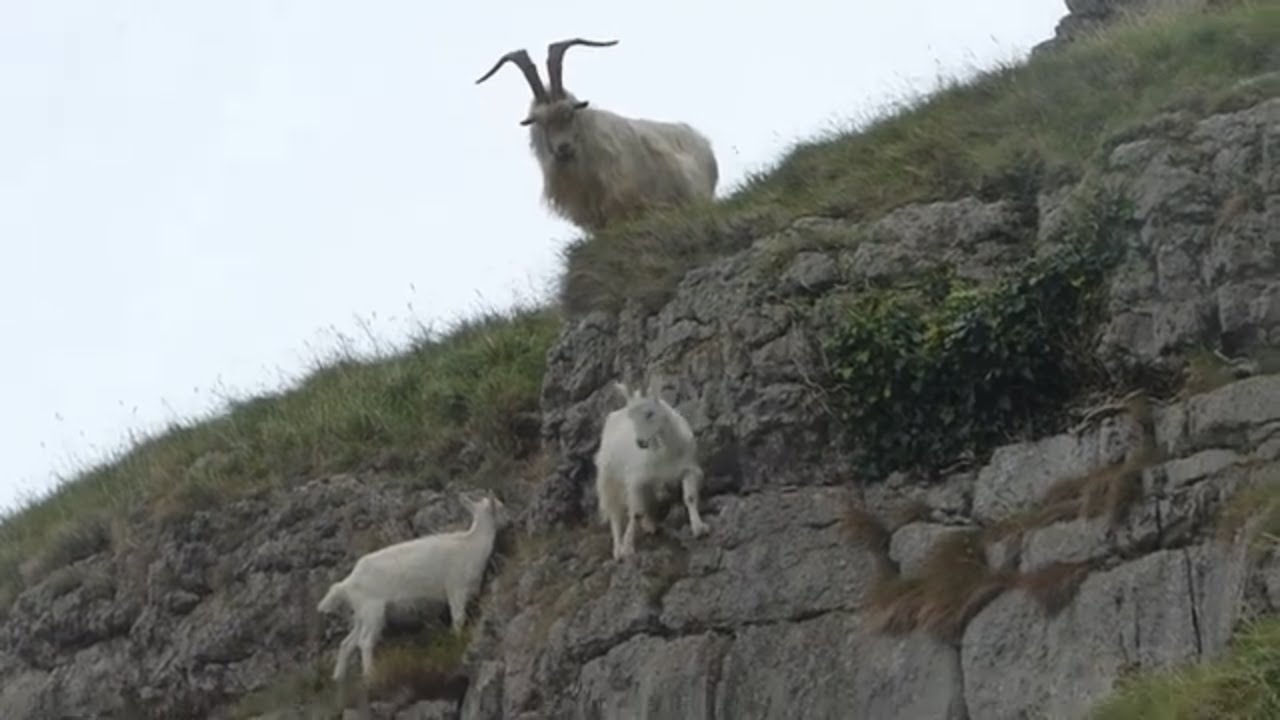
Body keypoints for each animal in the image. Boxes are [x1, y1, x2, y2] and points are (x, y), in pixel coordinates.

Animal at [316, 491, 505, 681]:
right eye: (500, 506)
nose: (508, 520)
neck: (471, 545)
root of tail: (347, 583)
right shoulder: (455, 588)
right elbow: (458, 618)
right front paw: (458, 640)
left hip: (361, 614)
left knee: (347, 643)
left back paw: (338, 678)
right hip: (372, 609)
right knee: (364, 641)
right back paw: (370, 675)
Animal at [593, 376, 709, 560]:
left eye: (650, 413)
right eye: (631, 417)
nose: (640, 442)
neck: (666, 452)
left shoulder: (690, 469)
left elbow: (690, 497)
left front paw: (699, 528)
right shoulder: (635, 481)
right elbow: (635, 513)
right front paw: (627, 547)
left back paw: (650, 525)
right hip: (609, 479)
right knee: (615, 514)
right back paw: (618, 549)